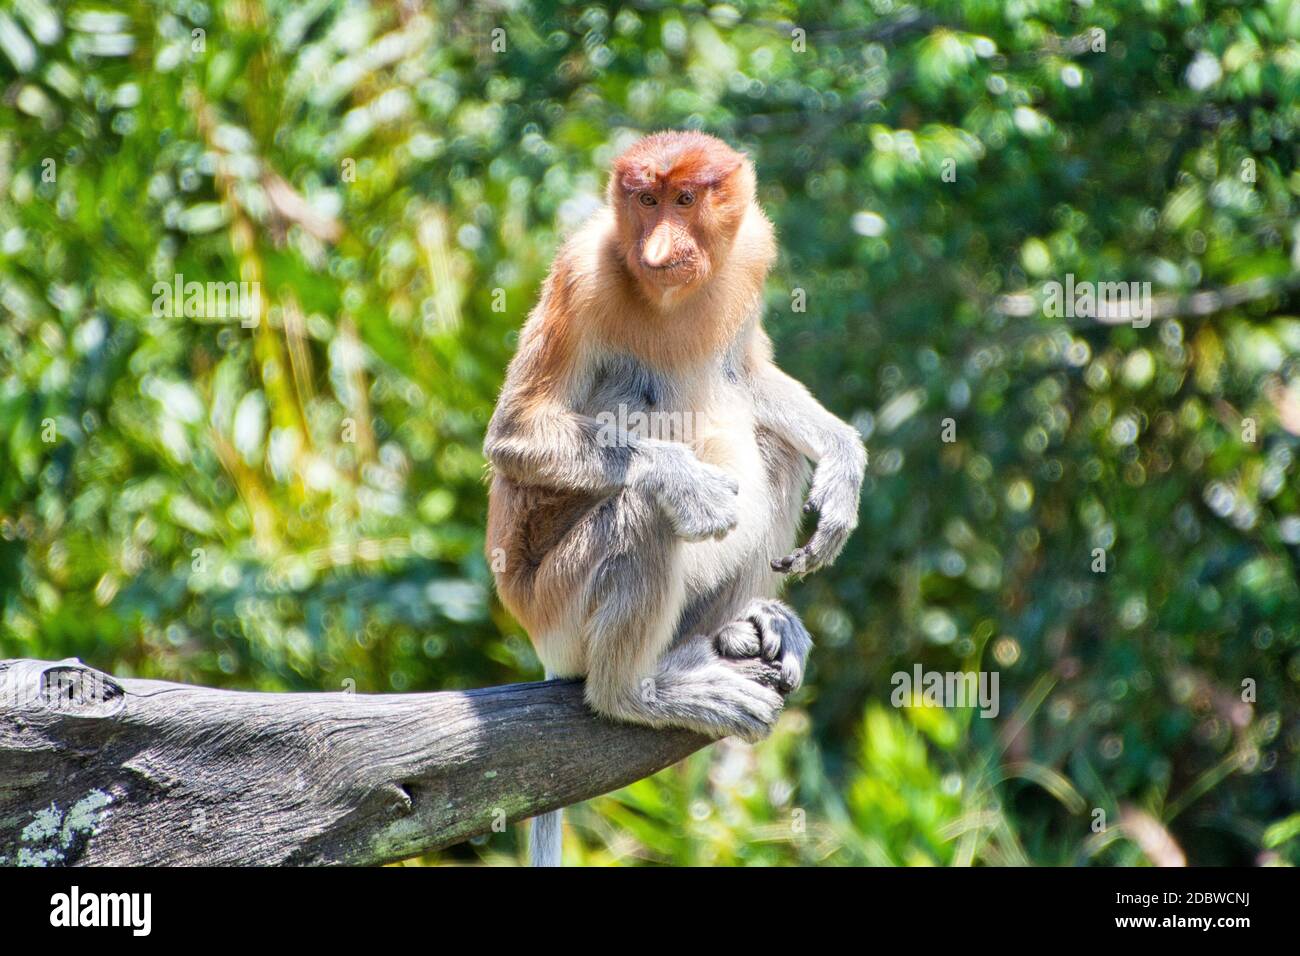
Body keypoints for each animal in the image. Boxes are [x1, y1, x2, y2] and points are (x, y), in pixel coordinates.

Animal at [483, 131, 866, 865]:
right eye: (645, 201)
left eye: (685, 199)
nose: (659, 251)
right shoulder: (584, 275)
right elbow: (517, 431)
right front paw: (686, 481)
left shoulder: (751, 252)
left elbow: (747, 372)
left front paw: (844, 465)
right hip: (559, 608)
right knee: (645, 512)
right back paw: (639, 691)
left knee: (774, 450)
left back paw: (736, 630)